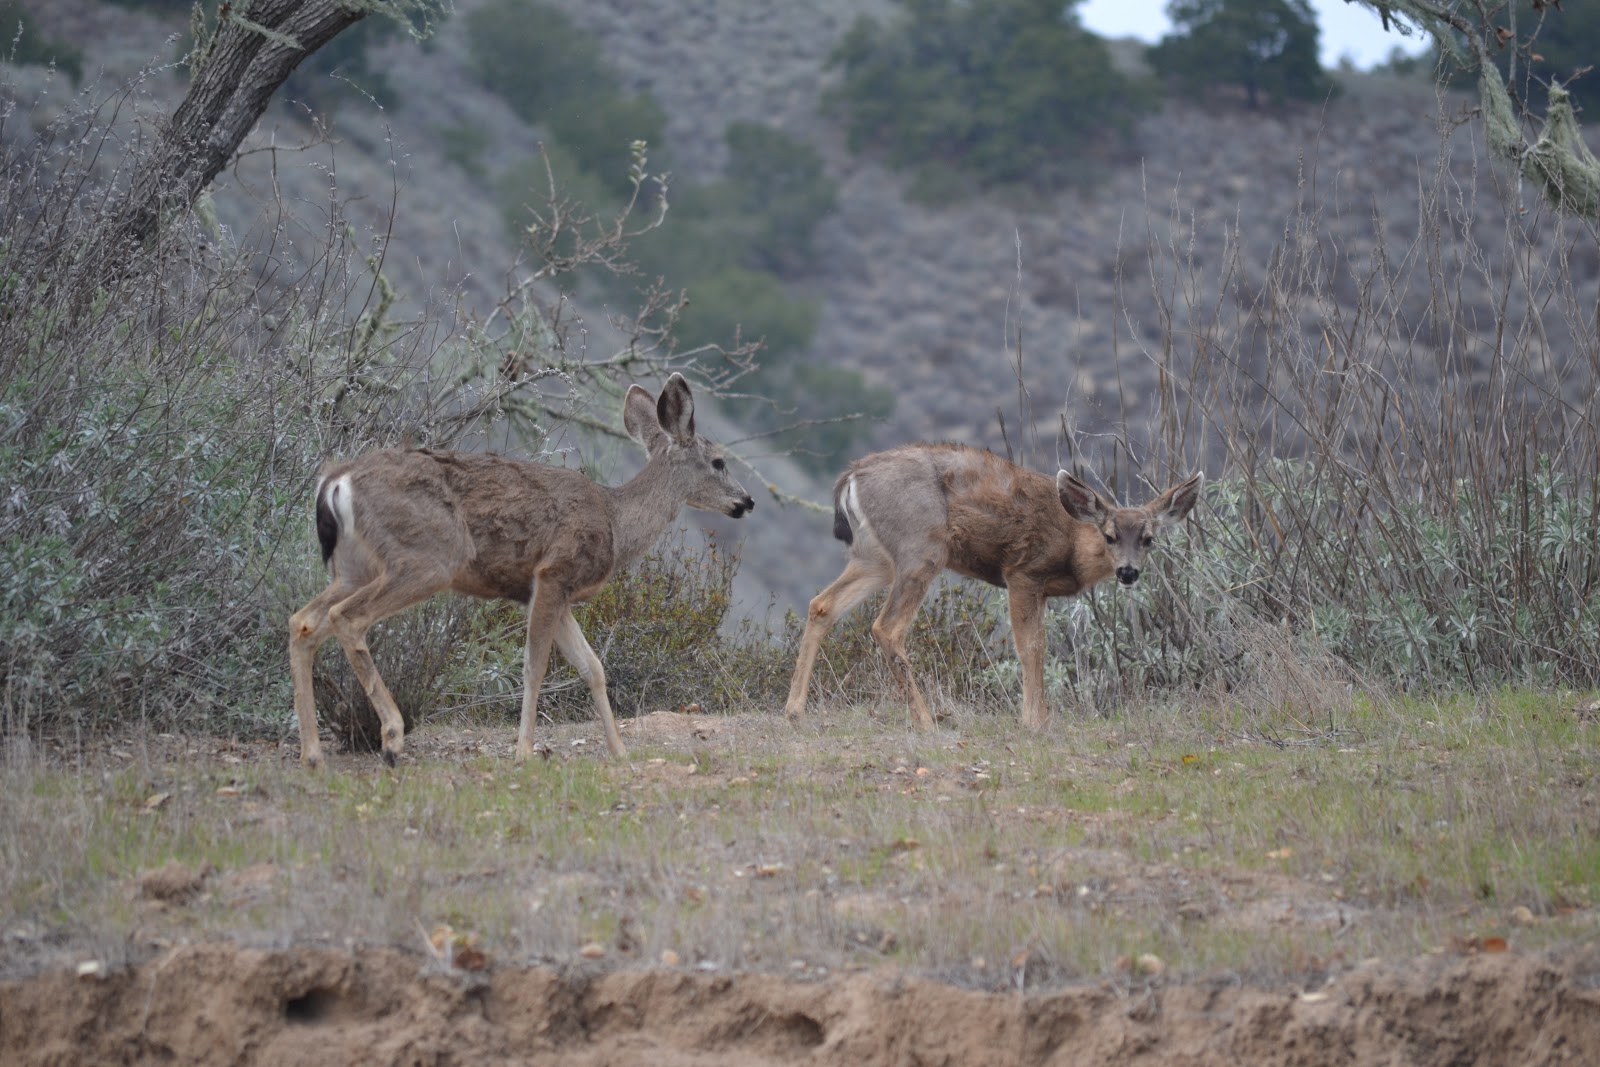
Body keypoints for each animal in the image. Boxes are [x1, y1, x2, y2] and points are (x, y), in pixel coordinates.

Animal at [287, 374, 754, 768]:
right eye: (718, 461)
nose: (747, 501)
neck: (615, 522)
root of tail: (336, 481)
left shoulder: (559, 593)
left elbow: (592, 667)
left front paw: (619, 751)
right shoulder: (553, 572)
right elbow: (535, 666)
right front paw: (524, 751)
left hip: (354, 566)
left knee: (303, 620)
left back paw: (312, 754)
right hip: (427, 558)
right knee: (347, 616)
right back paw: (391, 738)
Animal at [784, 443, 1202, 731]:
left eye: (1148, 539)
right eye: (1110, 535)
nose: (1129, 572)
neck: (1071, 546)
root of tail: (851, 477)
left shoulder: (1040, 589)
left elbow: (1037, 647)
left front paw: (1038, 717)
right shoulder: (1023, 573)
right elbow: (1030, 647)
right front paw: (1034, 721)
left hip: (875, 558)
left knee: (822, 604)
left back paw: (794, 710)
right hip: (921, 547)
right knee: (886, 627)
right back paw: (926, 721)